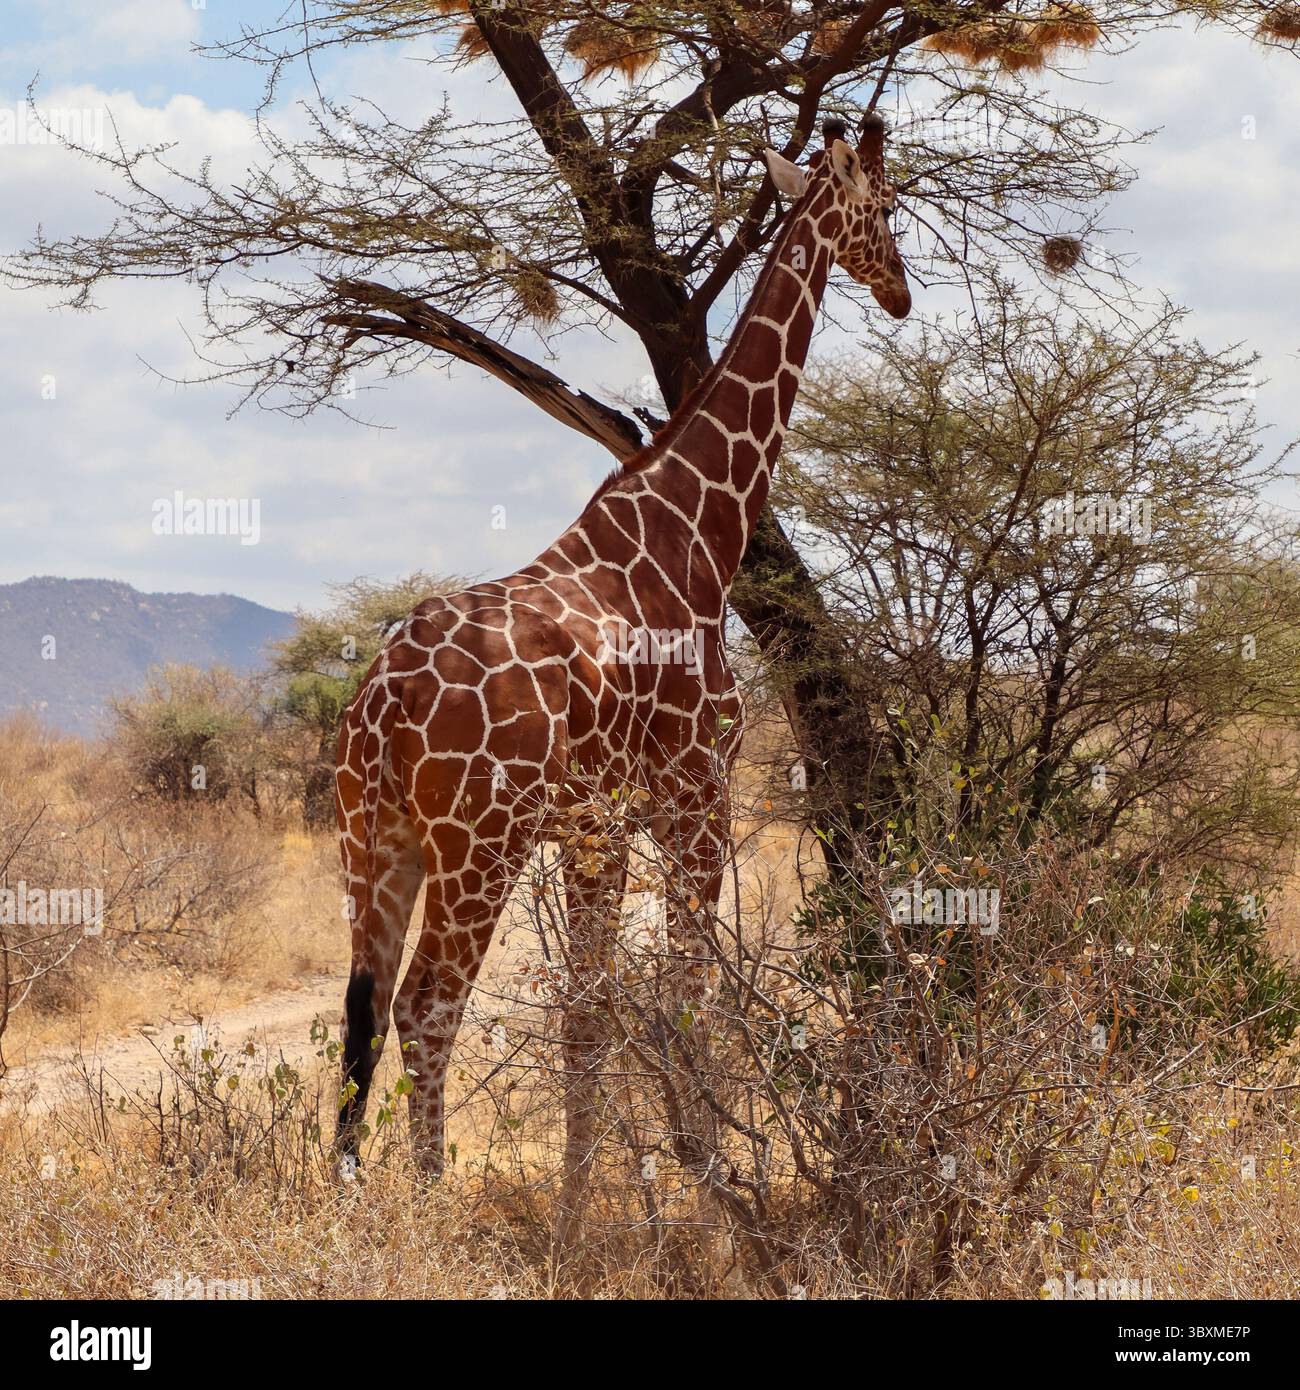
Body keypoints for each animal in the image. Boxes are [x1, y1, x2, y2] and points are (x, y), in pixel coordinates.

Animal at [333, 116, 911, 1224]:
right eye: (886, 204)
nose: (901, 290)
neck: (697, 526)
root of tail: (385, 699)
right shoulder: (696, 794)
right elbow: (686, 994)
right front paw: (708, 1177)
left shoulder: (594, 828)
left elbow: (588, 1009)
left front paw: (576, 1205)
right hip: (478, 840)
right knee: (428, 1004)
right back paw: (428, 1202)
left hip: (374, 837)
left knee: (364, 1007)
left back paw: (342, 1195)